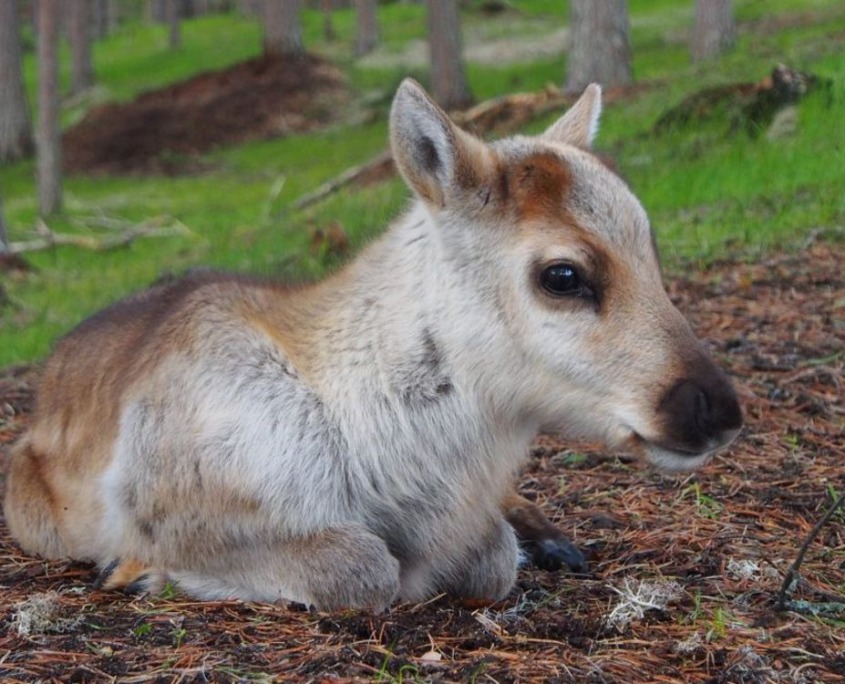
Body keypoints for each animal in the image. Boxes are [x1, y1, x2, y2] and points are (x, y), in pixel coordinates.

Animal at [3, 80, 742, 612]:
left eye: (651, 251)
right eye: (563, 275)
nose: (716, 409)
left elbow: (489, 558)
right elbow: (364, 568)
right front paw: (140, 571)